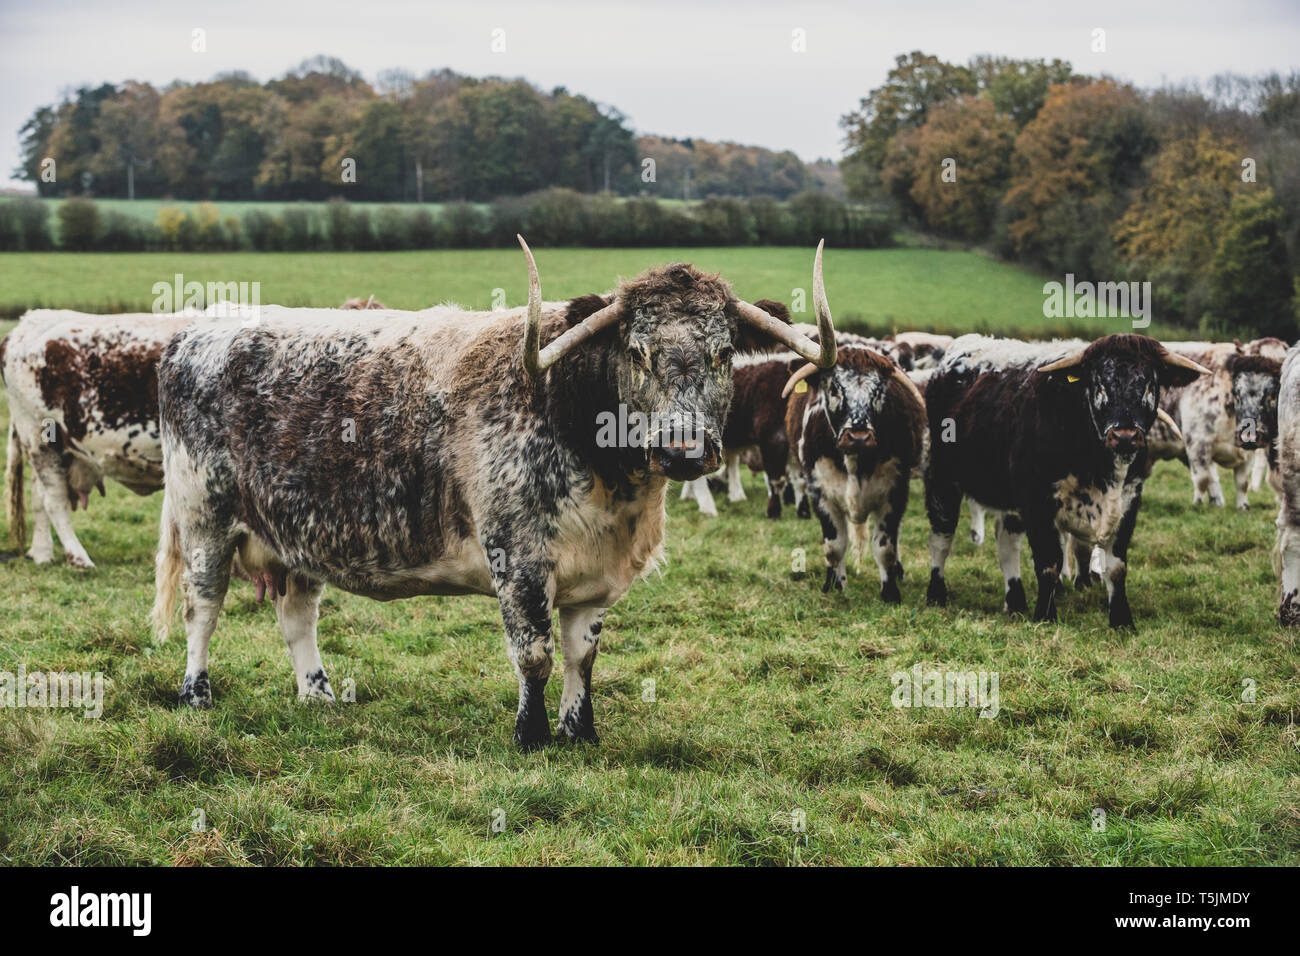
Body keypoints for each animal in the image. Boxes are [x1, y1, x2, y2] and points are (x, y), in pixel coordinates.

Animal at [2, 310, 190, 567]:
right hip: (38, 437)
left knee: (39, 498)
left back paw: (42, 554)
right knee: (53, 502)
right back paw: (79, 558)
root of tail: (28, 321)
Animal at [150, 238, 838, 749]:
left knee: (296, 616)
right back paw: (196, 693)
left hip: (299, 533)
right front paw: (530, 735)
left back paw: (318, 695)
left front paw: (580, 731)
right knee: (202, 607)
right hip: (205, 518)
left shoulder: (594, 578)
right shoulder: (519, 559)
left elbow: (580, 657)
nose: (686, 449)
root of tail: (193, 336)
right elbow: (533, 654)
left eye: (724, 353)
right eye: (639, 352)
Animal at [784, 341, 926, 601]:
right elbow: (834, 545)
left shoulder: (895, 492)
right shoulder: (820, 493)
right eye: (834, 388)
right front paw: (835, 585)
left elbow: (885, 547)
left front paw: (890, 591)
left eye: (879, 391)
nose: (859, 436)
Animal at [923, 334, 1205, 628]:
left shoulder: (1129, 501)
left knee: (1007, 543)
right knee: (941, 538)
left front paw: (1122, 620)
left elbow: (1116, 567)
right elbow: (1049, 563)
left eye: (1150, 383)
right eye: (1098, 382)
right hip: (942, 479)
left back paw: (1016, 602)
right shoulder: (1036, 501)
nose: (1125, 437)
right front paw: (1045, 616)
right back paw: (936, 594)